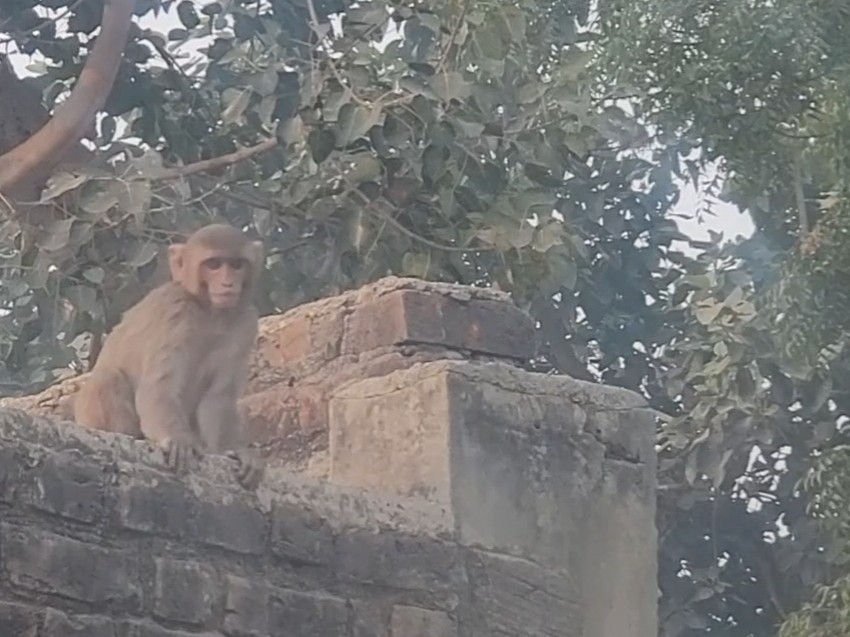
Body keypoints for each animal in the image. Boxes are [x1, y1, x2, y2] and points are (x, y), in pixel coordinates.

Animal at [73, 224, 265, 489]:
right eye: (214, 264)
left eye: (237, 265)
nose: (228, 283)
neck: (208, 311)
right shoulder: (174, 312)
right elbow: (158, 387)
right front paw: (177, 440)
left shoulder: (246, 321)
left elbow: (218, 397)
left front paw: (238, 451)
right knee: (108, 377)